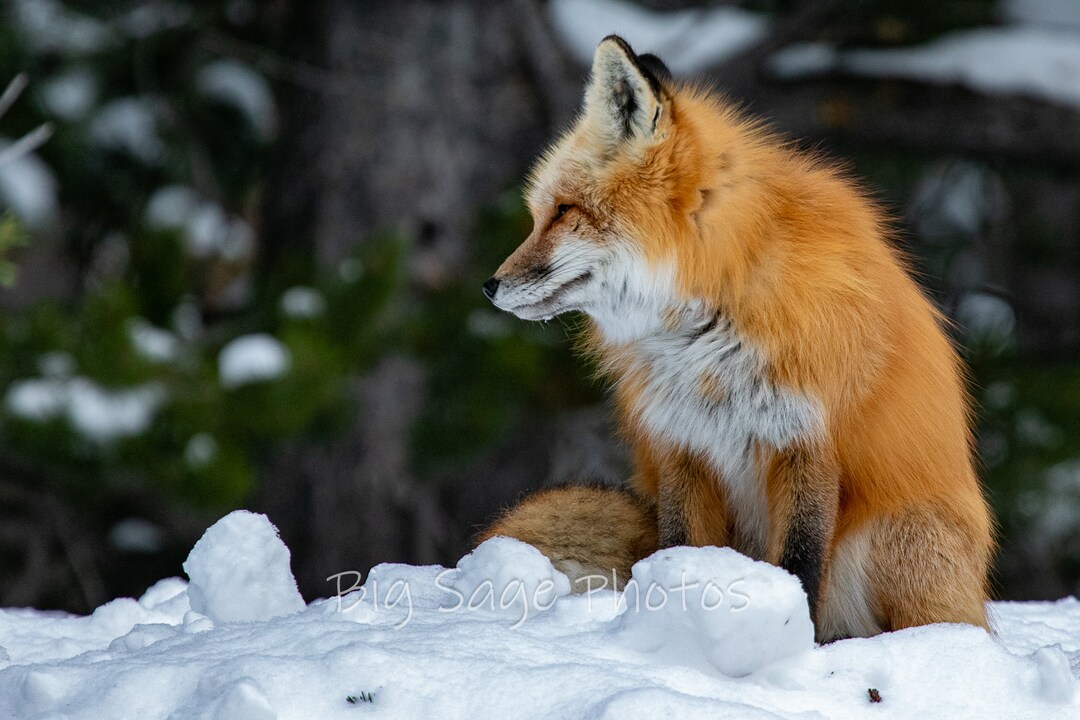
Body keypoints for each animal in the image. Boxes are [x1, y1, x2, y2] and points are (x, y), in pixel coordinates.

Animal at [480, 35, 994, 642]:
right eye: (543, 214)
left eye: (563, 212)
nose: (489, 286)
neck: (712, 321)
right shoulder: (683, 445)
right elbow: (680, 549)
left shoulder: (808, 444)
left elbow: (798, 567)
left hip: (898, 537)